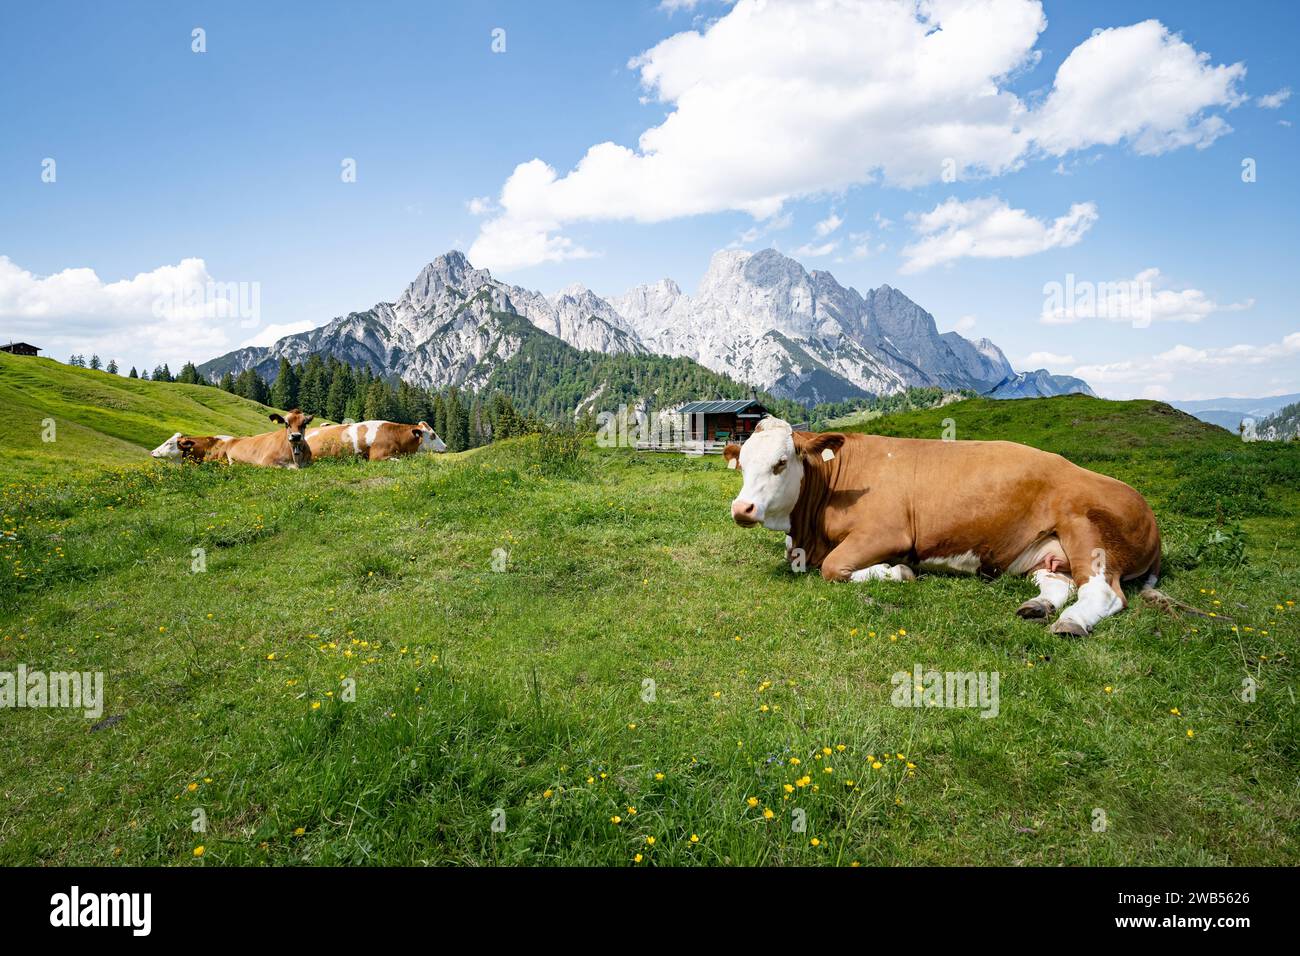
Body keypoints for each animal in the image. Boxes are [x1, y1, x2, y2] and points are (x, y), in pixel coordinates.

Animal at [723, 416, 1162, 637]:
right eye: (742, 464)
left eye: (781, 463)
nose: (742, 508)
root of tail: (1143, 504)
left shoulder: (886, 533)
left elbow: (834, 568)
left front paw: (898, 571)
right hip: (1044, 553)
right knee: (1061, 583)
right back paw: (1038, 606)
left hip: (1088, 533)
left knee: (1103, 593)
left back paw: (1070, 622)